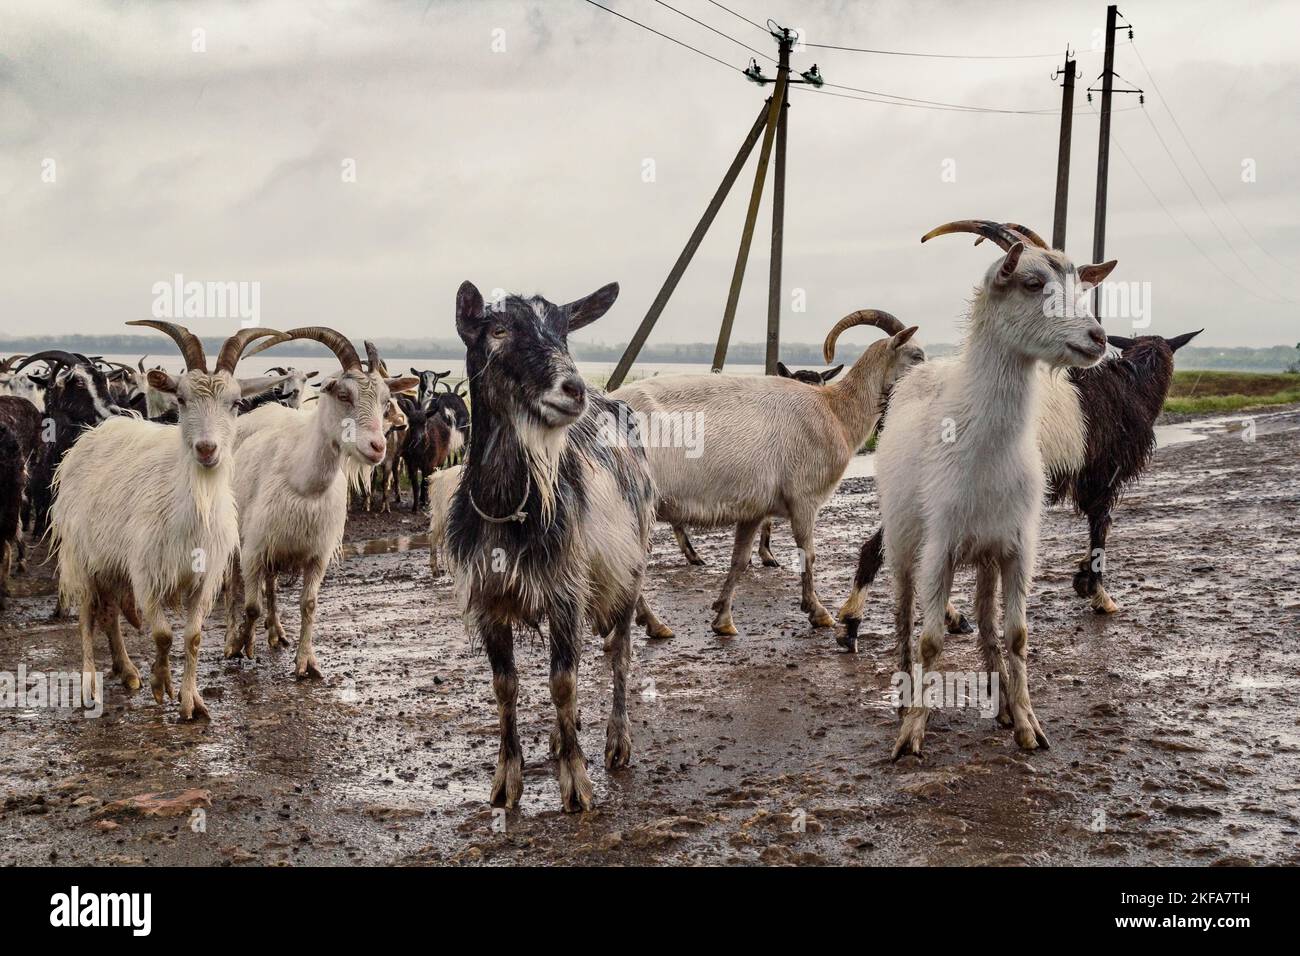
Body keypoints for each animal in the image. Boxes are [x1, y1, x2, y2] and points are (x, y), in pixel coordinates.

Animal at [49, 323, 285, 717]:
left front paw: (191, 702)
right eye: (182, 399)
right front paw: (161, 684)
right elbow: (162, 634)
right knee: (87, 615)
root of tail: (93, 435)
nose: (206, 449)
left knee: (109, 613)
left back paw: (127, 671)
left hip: (112, 563)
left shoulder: (204, 577)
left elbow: (192, 637)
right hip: (82, 556)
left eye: (236, 403)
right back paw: (90, 687)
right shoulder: (146, 573)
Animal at [223, 333, 417, 678]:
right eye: (343, 394)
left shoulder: (316, 554)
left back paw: (277, 632)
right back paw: (234, 637)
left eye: (385, 401)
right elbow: (251, 605)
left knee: (271, 587)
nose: (378, 447)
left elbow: (308, 605)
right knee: (234, 587)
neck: (304, 483)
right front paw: (242, 644)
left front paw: (305, 662)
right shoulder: (254, 549)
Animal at [446, 280, 670, 812]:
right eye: (498, 330)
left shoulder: (566, 591)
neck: (508, 509)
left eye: (565, 332)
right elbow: (505, 686)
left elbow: (563, 682)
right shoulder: (489, 599)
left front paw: (577, 783)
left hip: (630, 573)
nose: (574, 389)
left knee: (619, 653)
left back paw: (616, 742)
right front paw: (506, 781)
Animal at [612, 313, 921, 635]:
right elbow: (808, 553)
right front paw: (819, 612)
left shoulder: (753, 509)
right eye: (917, 356)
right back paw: (655, 623)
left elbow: (739, 560)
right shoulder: (804, 498)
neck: (835, 411)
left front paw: (723, 619)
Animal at [876, 219, 1114, 759]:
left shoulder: (1017, 547)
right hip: (902, 542)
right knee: (902, 612)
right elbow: (930, 639)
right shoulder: (939, 547)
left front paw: (1028, 724)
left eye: (1078, 285)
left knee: (986, 623)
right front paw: (912, 732)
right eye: (1032, 282)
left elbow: (1016, 634)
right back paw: (904, 696)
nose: (1098, 337)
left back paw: (1002, 702)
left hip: (986, 554)